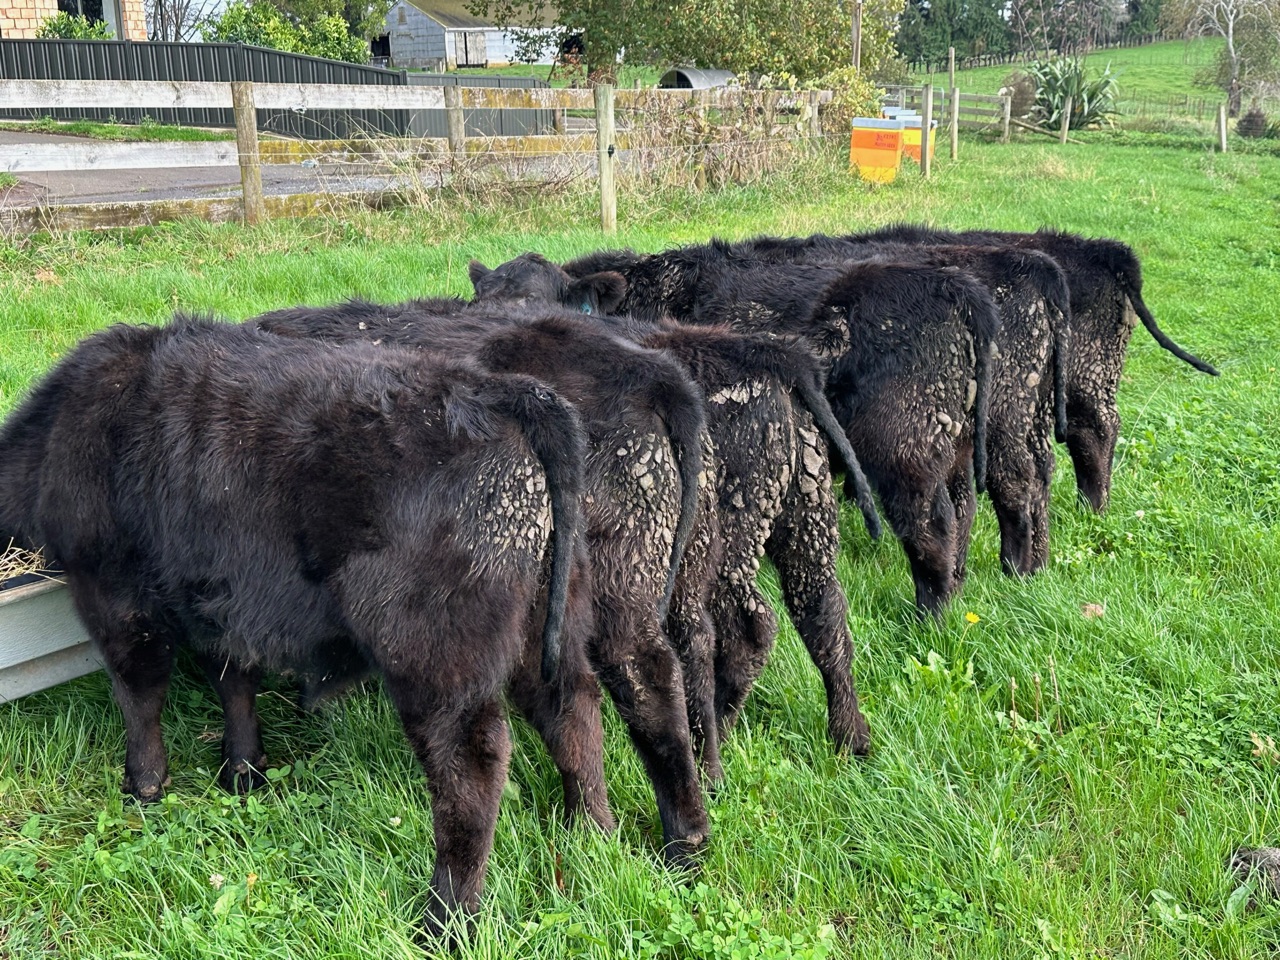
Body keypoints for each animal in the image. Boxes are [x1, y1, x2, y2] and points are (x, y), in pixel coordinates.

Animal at [0, 316, 598, 939]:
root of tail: (493, 390)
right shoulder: (221, 602)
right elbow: (233, 682)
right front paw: (243, 771)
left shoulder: (116, 598)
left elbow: (140, 693)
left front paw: (143, 785)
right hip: (550, 629)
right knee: (573, 709)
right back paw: (590, 833)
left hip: (436, 662)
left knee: (474, 766)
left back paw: (445, 918)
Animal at [469, 253, 882, 752]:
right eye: (478, 298)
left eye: (533, 300)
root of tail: (775, 356)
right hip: (808, 506)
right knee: (823, 612)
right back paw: (850, 739)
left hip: (719, 542)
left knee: (739, 631)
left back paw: (717, 734)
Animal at [563, 246, 1001, 615]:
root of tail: (953, 285)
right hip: (955, 447)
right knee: (962, 512)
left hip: (903, 451)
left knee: (932, 526)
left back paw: (929, 615)